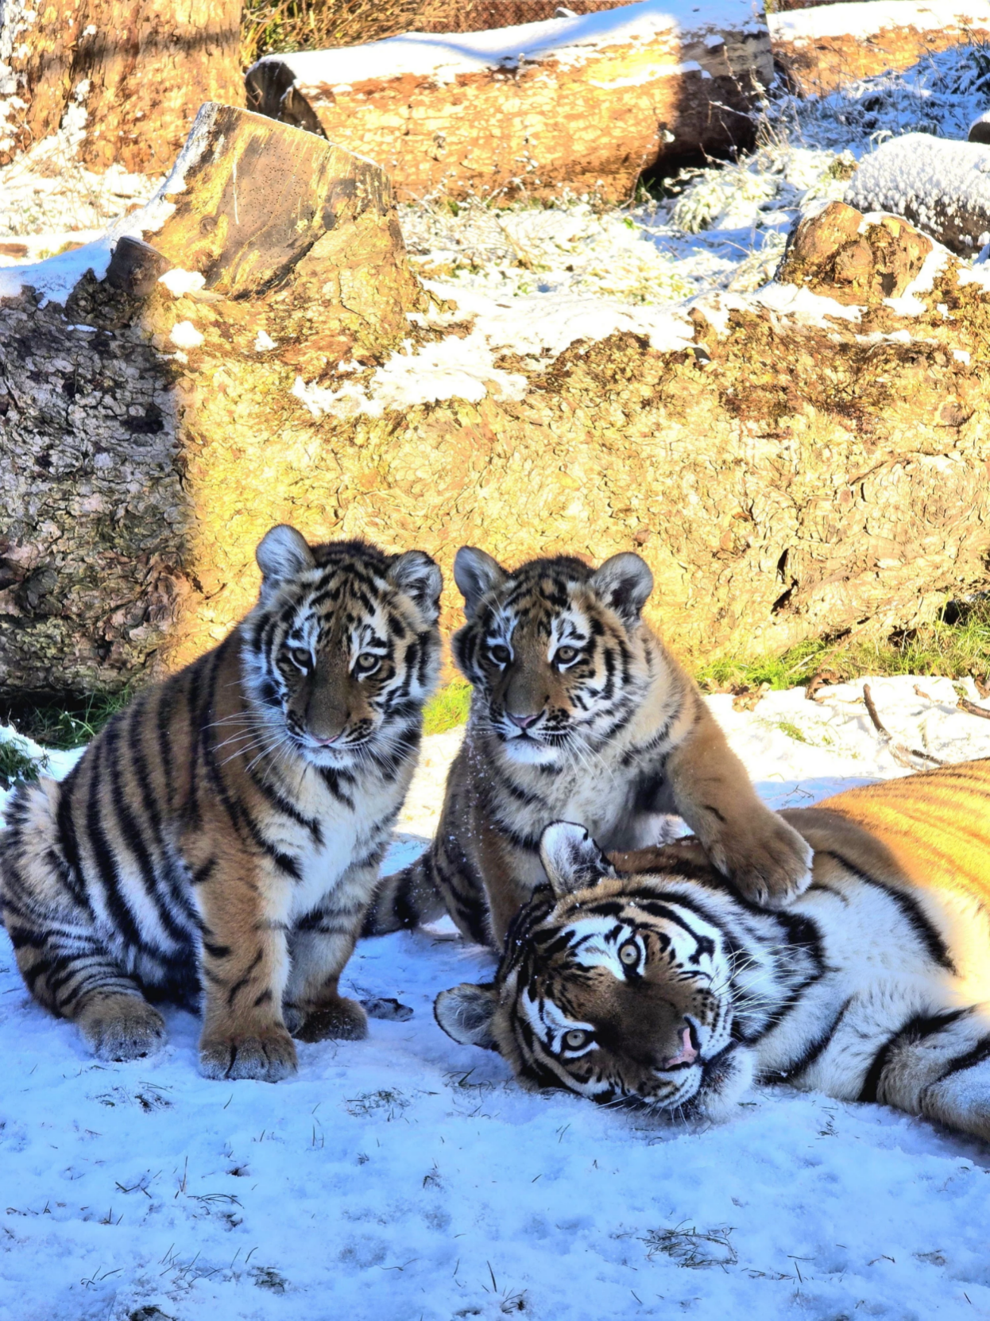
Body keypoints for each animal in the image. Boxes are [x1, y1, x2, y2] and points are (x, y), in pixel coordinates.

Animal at [0, 526, 442, 1081]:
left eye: (367, 662)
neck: (354, 775)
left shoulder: (360, 853)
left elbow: (330, 940)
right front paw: (249, 1046)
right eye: (300, 657)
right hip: (36, 821)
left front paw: (318, 1011)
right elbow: (248, 950)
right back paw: (125, 1024)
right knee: (78, 974)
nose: (323, 736)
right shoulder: (237, 848)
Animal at [363, 546, 812, 950]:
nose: (522, 719)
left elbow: (716, 786)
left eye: (565, 654)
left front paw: (775, 865)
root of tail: (439, 853)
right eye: (499, 654)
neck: (582, 752)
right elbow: (515, 895)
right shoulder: (504, 825)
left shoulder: (679, 735)